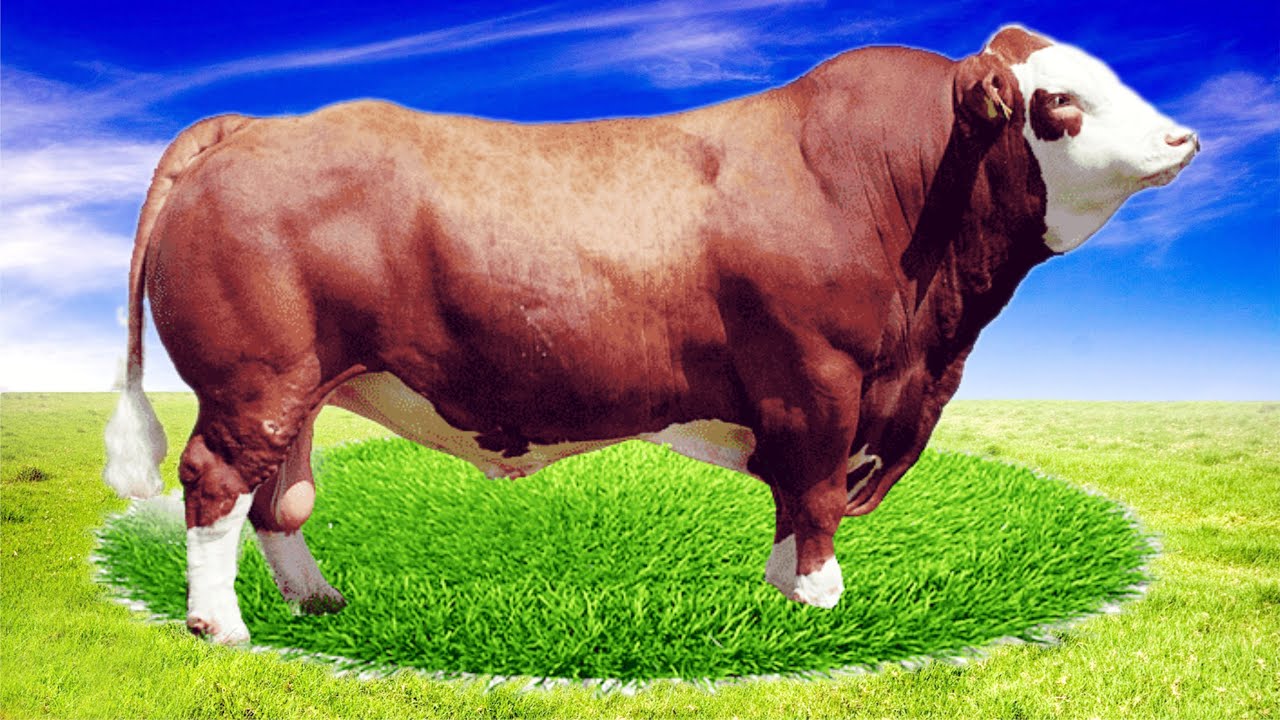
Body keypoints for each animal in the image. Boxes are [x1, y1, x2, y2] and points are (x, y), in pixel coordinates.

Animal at [103, 25, 1197, 644]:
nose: (1181, 136)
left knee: (280, 497)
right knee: (215, 482)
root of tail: (254, 125)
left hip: (301, 385)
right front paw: (820, 602)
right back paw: (218, 624)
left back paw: (318, 602)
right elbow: (813, 490)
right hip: (254, 380)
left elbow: (794, 497)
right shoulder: (819, 376)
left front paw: (780, 588)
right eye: (1059, 101)